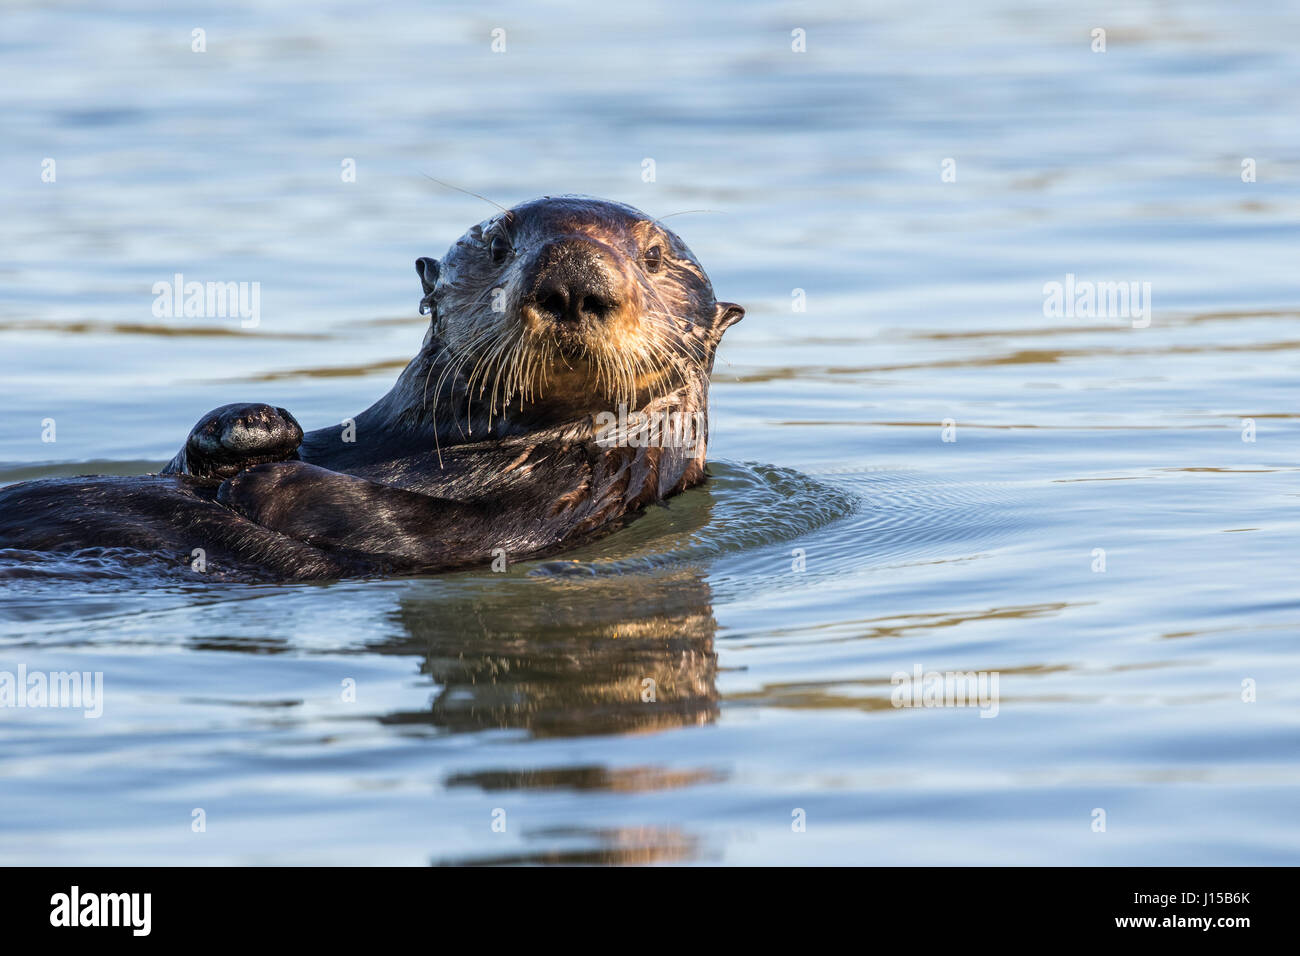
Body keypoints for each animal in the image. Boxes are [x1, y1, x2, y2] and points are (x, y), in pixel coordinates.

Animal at [0, 196, 743, 580]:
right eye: (499, 246)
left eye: (654, 256)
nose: (575, 278)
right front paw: (253, 425)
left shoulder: (571, 500)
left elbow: (426, 530)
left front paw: (273, 480)